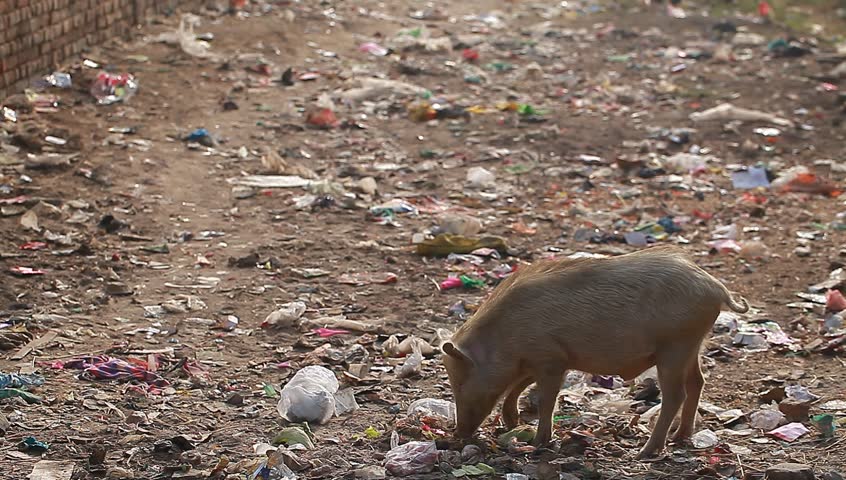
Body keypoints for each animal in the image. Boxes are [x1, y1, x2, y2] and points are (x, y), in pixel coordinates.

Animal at [441, 246, 749, 459]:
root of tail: (715, 286)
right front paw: (511, 424)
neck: (504, 338)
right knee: (697, 381)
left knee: (676, 395)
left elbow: (545, 399)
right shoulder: (543, 359)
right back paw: (679, 438)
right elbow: (517, 386)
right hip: (693, 344)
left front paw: (539, 443)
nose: (458, 434)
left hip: (675, 346)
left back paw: (646, 452)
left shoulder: (550, 357)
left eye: (460, 382)